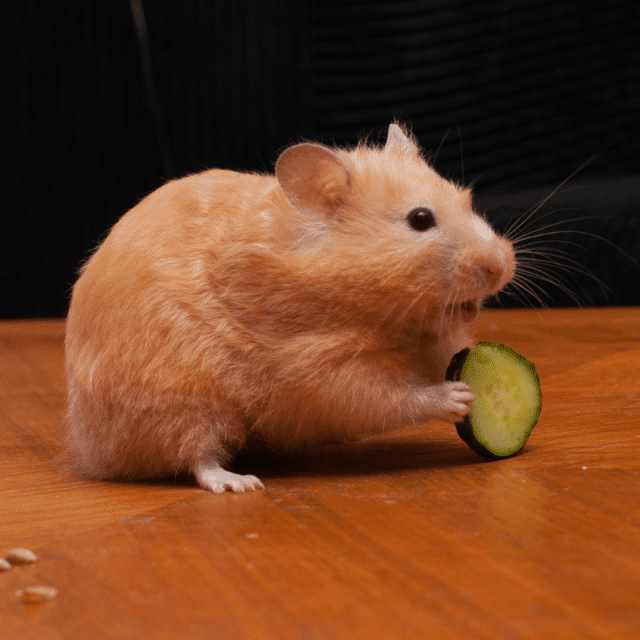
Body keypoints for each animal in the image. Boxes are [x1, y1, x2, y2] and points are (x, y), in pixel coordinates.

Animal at [64, 123, 515, 493]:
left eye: (467, 200)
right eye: (420, 219)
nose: (500, 266)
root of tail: (90, 447)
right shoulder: (322, 371)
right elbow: (392, 398)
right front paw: (461, 395)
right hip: (180, 401)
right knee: (197, 456)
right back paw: (240, 482)